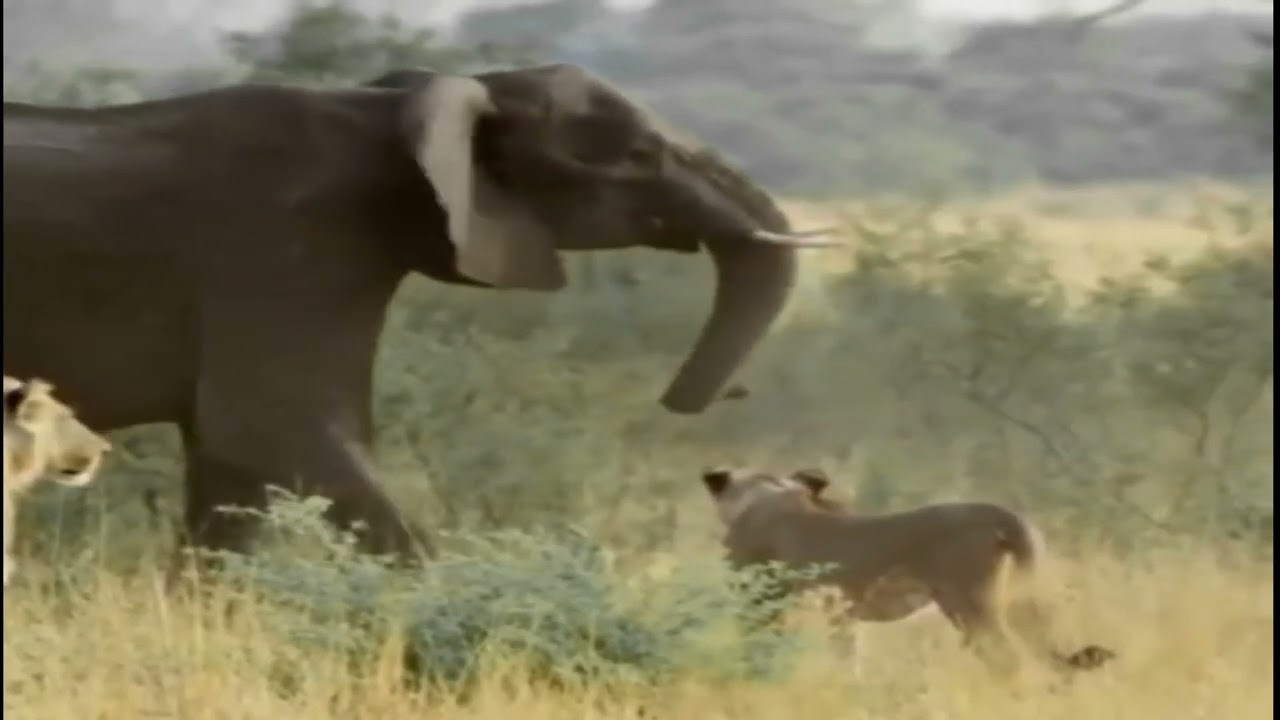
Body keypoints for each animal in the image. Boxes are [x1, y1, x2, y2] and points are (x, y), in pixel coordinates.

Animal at [2, 63, 837, 561]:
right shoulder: (283, 253)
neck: (392, 105)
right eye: (635, 157)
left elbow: (233, 469)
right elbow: (278, 439)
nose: (689, 398)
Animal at [701, 466, 1116, 675]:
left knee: (1011, 661)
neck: (768, 496)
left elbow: (761, 651)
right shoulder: (842, 615)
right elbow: (847, 658)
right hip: (1025, 604)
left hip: (970, 608)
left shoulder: (759, 605)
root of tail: (995, 510)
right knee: (1057, 663)